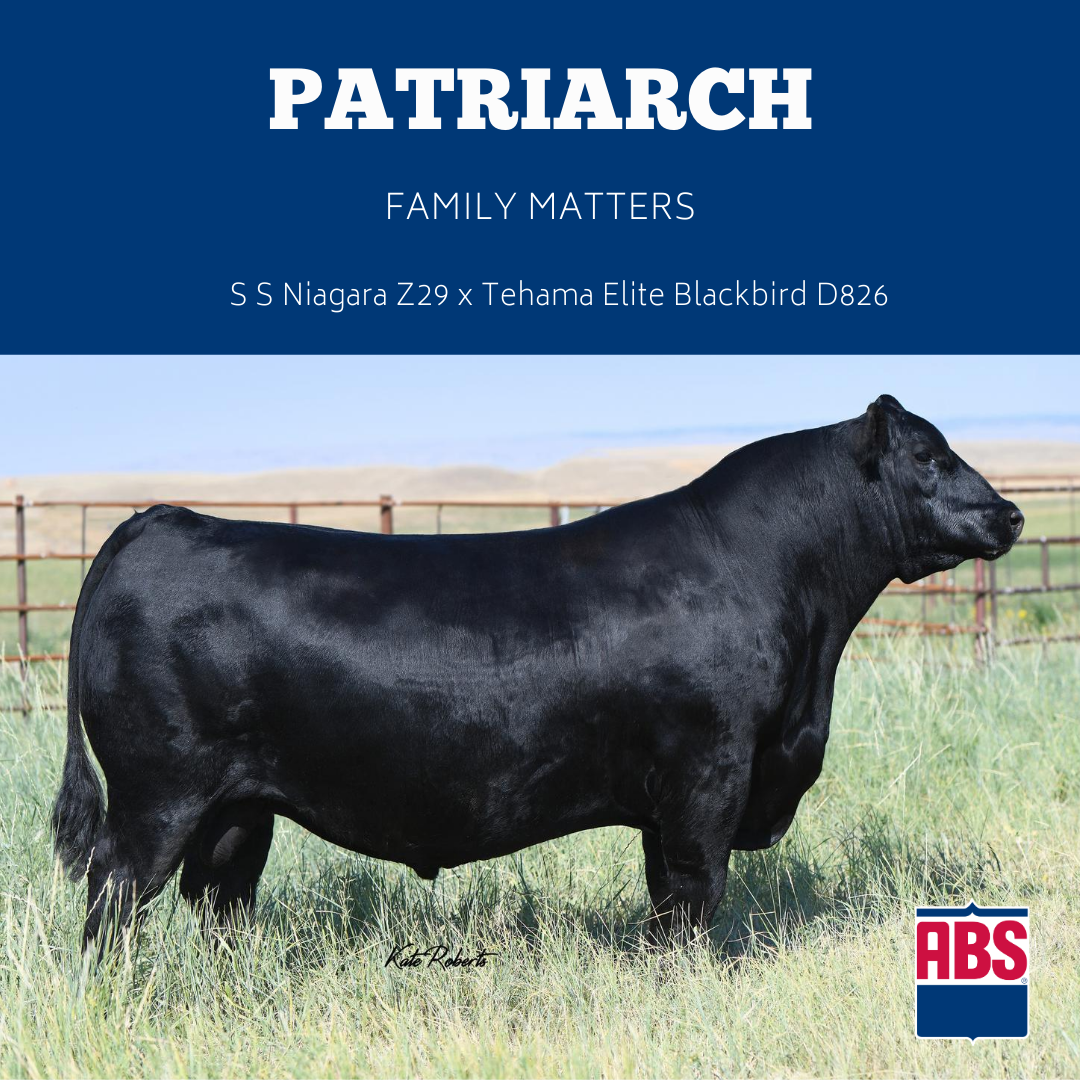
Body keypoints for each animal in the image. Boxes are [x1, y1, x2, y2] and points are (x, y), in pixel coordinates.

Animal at [52, 396, 1024, 950]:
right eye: (931, 457)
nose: (1011, 513)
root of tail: (161, 518)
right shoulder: (708, 772)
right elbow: (695, 894)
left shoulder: (669, 796)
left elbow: (666, 895)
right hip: (157, 791)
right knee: (115, 898)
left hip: (237, 807)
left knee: (219, 900)